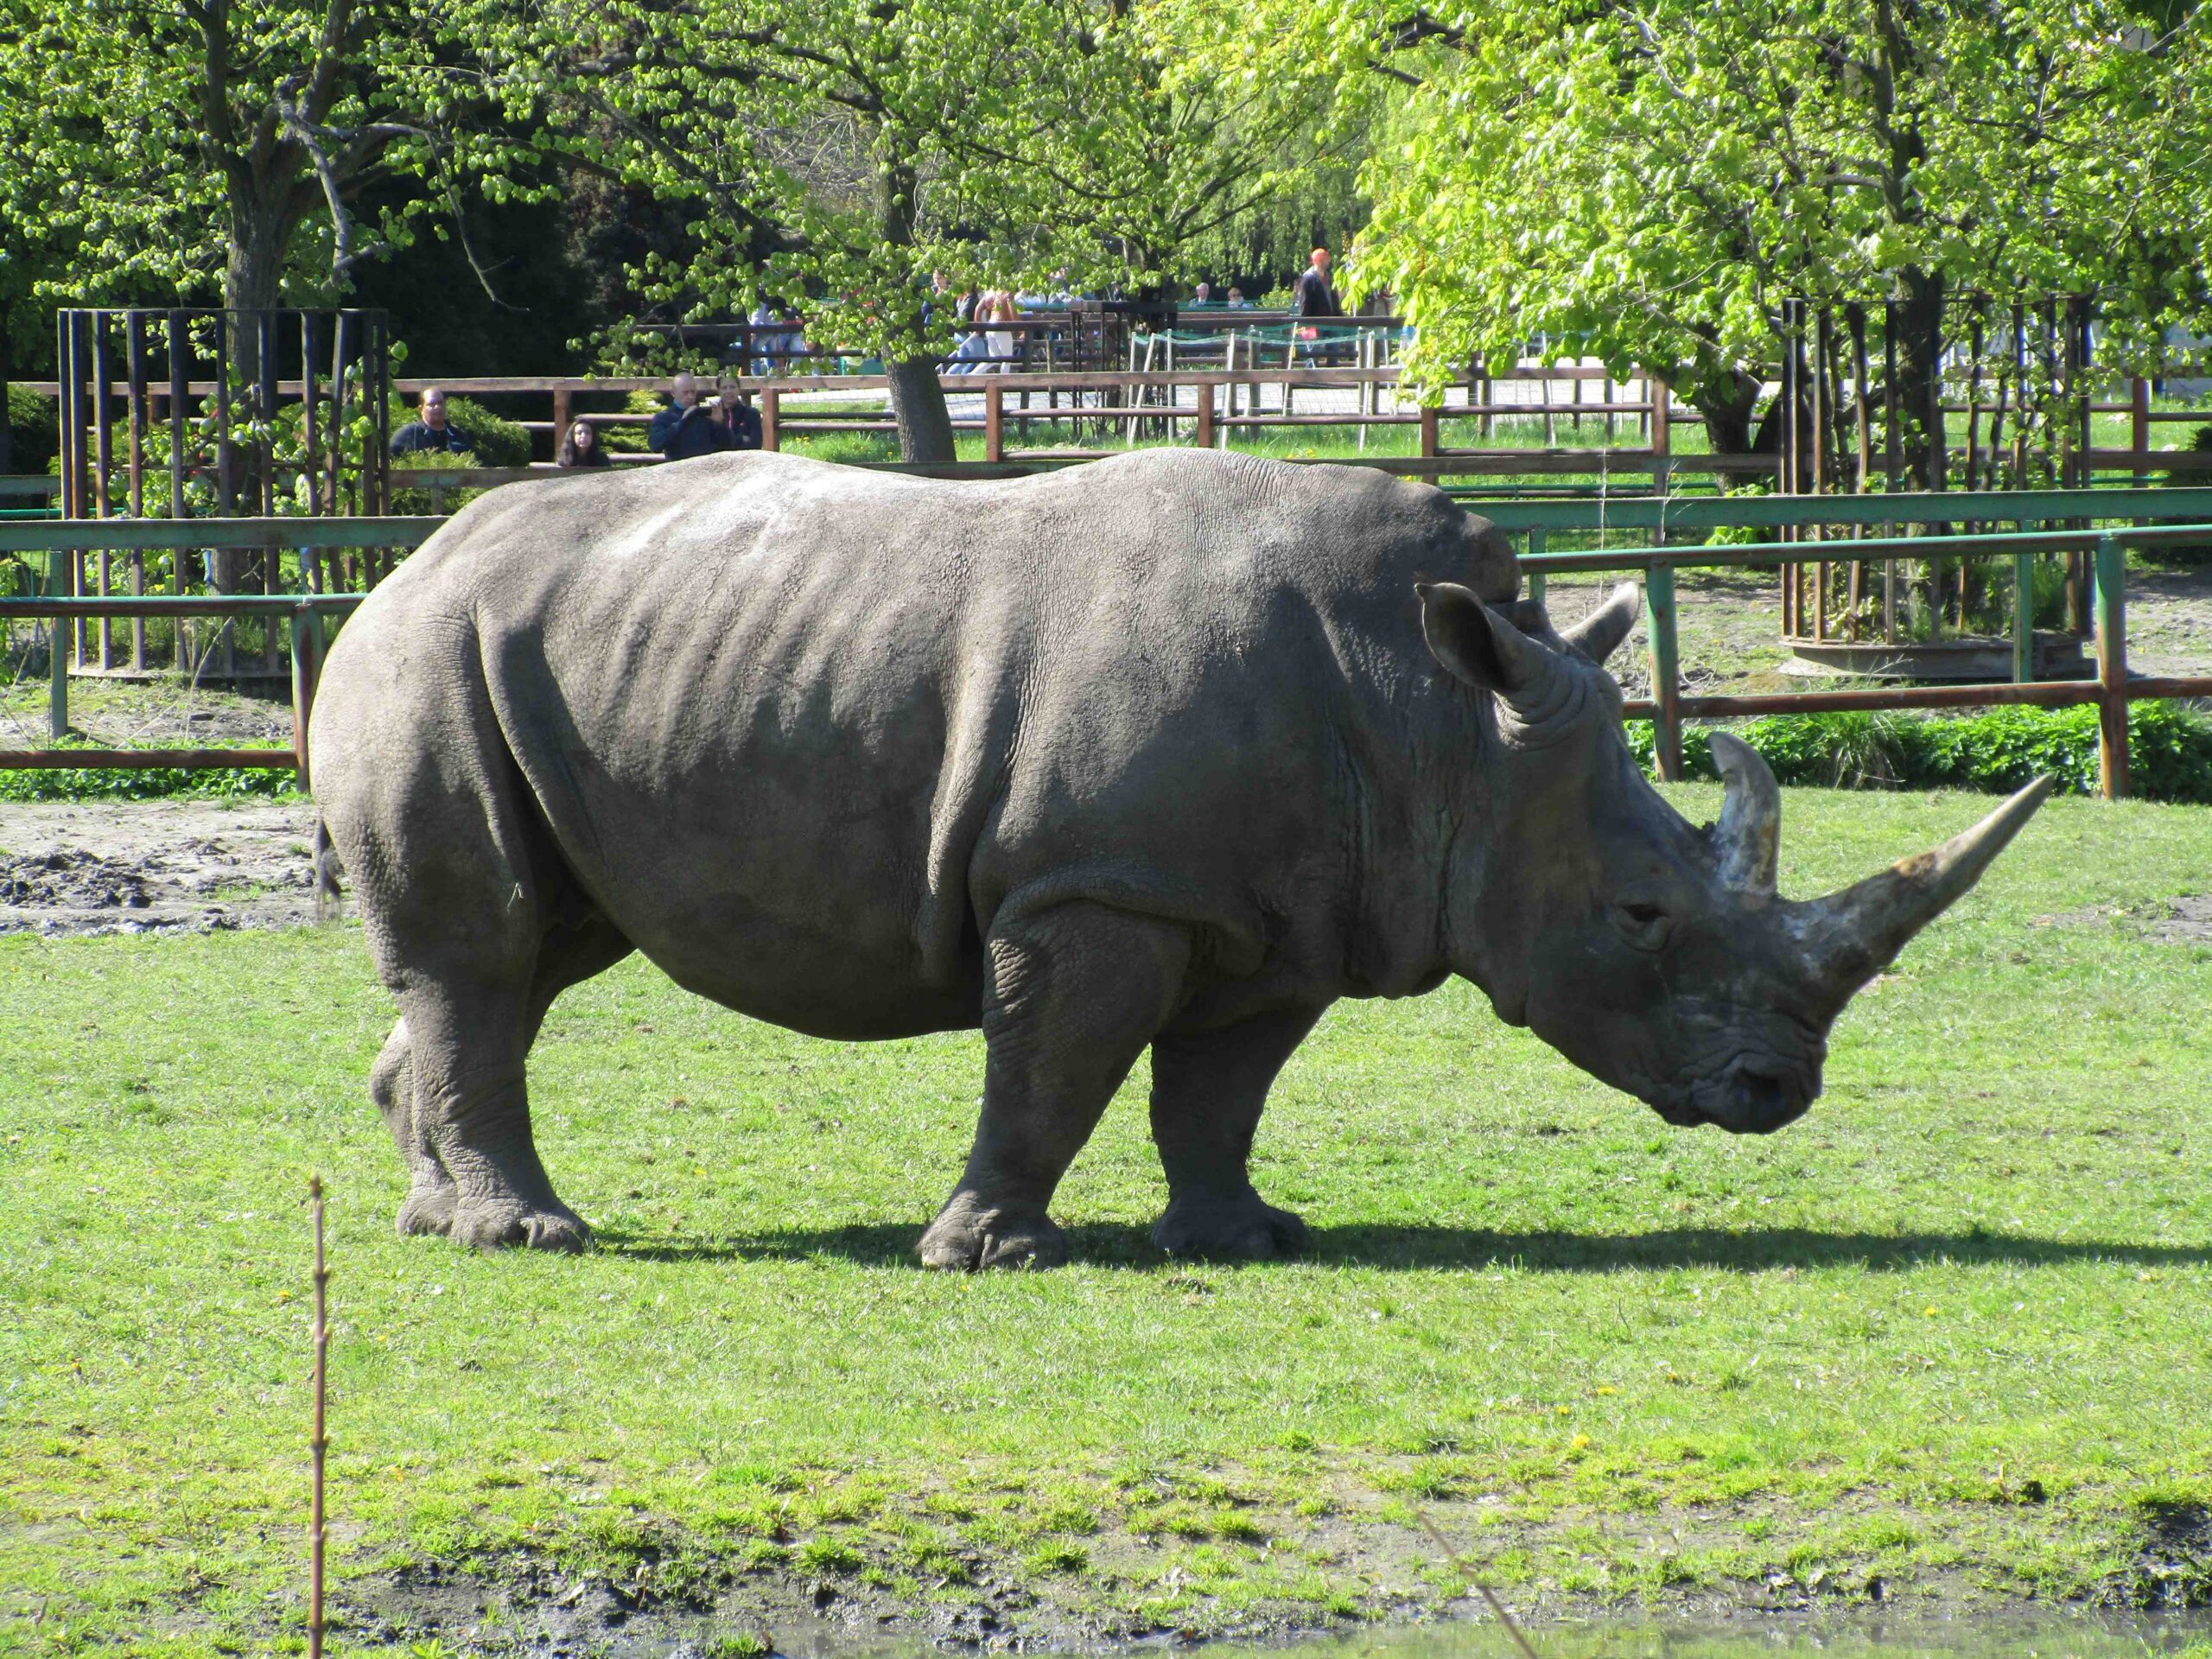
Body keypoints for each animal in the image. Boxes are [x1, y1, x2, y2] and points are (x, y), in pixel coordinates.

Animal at [309, 449, 2049, 1266]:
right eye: (1640, 912)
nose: (1780, 1093)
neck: (1442, 722)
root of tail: (395, 561)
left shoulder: (1290, 910)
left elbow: (1218, 1091)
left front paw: (1245, 1240)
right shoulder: (1099, 885)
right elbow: (1054, 1071)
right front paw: (991, 1256)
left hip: (545, 666)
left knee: (529, 953)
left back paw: (432, 1218)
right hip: (429, 656)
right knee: (489, 951)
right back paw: (528, 1236)